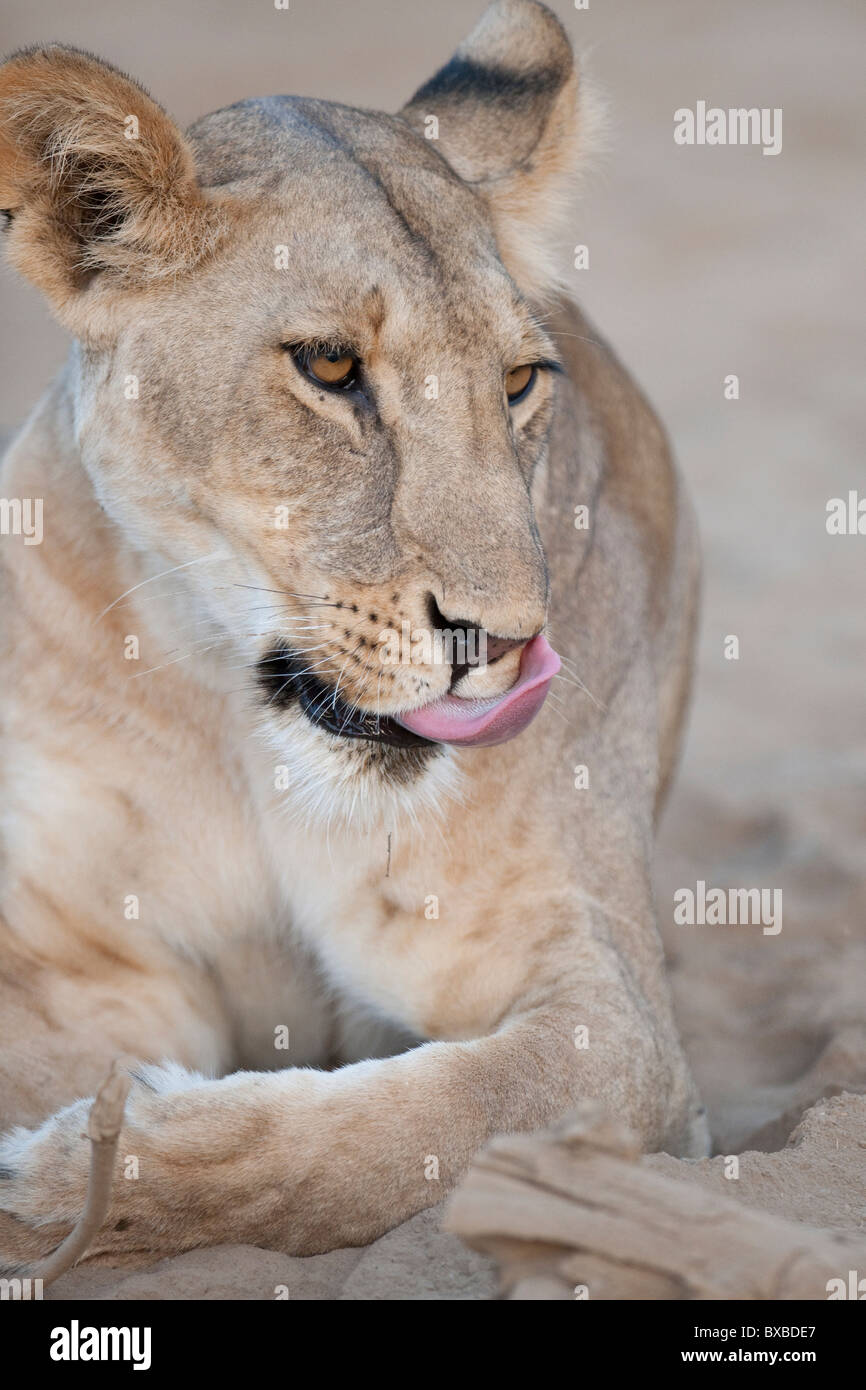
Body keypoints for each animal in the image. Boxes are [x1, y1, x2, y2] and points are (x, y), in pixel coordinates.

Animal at [0, 0, 707, 1272]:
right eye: (330, 366)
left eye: (519, 381)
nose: (506, 643)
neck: (249, 730)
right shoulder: (73, 963)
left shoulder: (604, 1010)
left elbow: (424, 1122)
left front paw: (92, 1176)